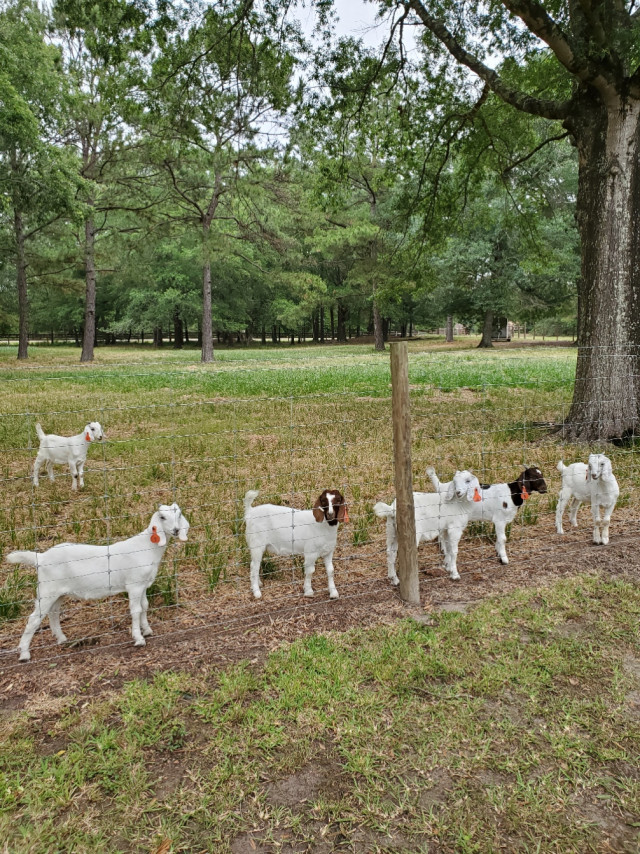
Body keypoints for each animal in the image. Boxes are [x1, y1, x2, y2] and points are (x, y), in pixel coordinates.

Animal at [7, 503, 189, 661]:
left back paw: (61, 638)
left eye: (179, 514)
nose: (176, 530)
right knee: (33, 618)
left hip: (58, 593)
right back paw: (24, 653)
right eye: (162, 517)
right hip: (46, 590)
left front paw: (147, 630)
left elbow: (145, 606)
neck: (147, 548)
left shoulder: (143, 584)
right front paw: (138, 638)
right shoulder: (134, 585)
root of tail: (41, 558)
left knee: (53, 613)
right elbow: (136, 610)